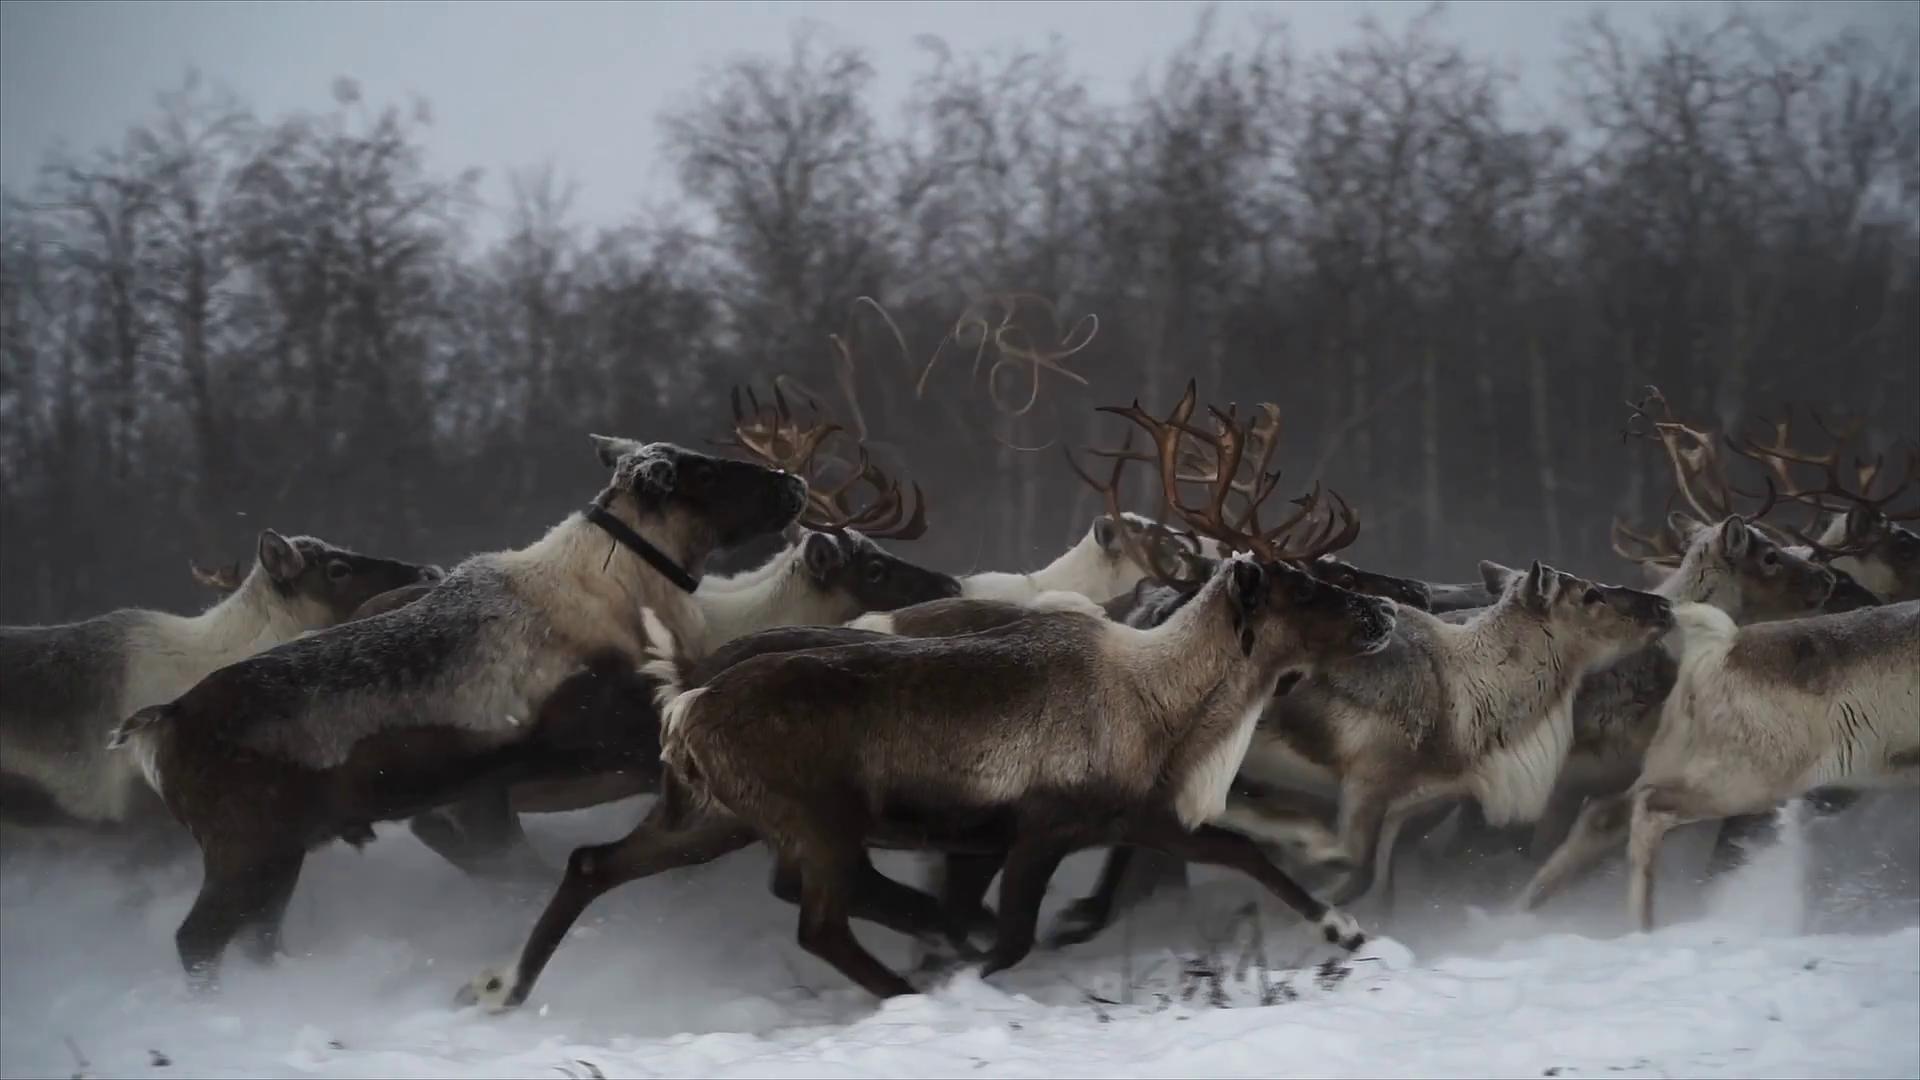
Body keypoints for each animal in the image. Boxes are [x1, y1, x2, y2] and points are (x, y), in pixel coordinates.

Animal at [103, 438, 809, 988]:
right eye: (704, 474)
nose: (792, 482)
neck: (629, 591)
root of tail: (160, 722)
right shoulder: (606, 737)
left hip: (279, 857)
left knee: (254, 939)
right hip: (246, 855)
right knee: (197, 940)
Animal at [461, 385, 1396, 1010]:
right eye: (1299, 586)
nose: (1385, 614)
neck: (1164, 701)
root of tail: (686, 699)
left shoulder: (1132, 815)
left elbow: (1239, 851)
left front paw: (1343, 930)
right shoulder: (1040, 826)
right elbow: (1012, 935)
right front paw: (960, 971)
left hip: (712, 816)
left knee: (594, 865)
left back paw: (505, 985)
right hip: (817, 821)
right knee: (819, 923)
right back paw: (903, 989)